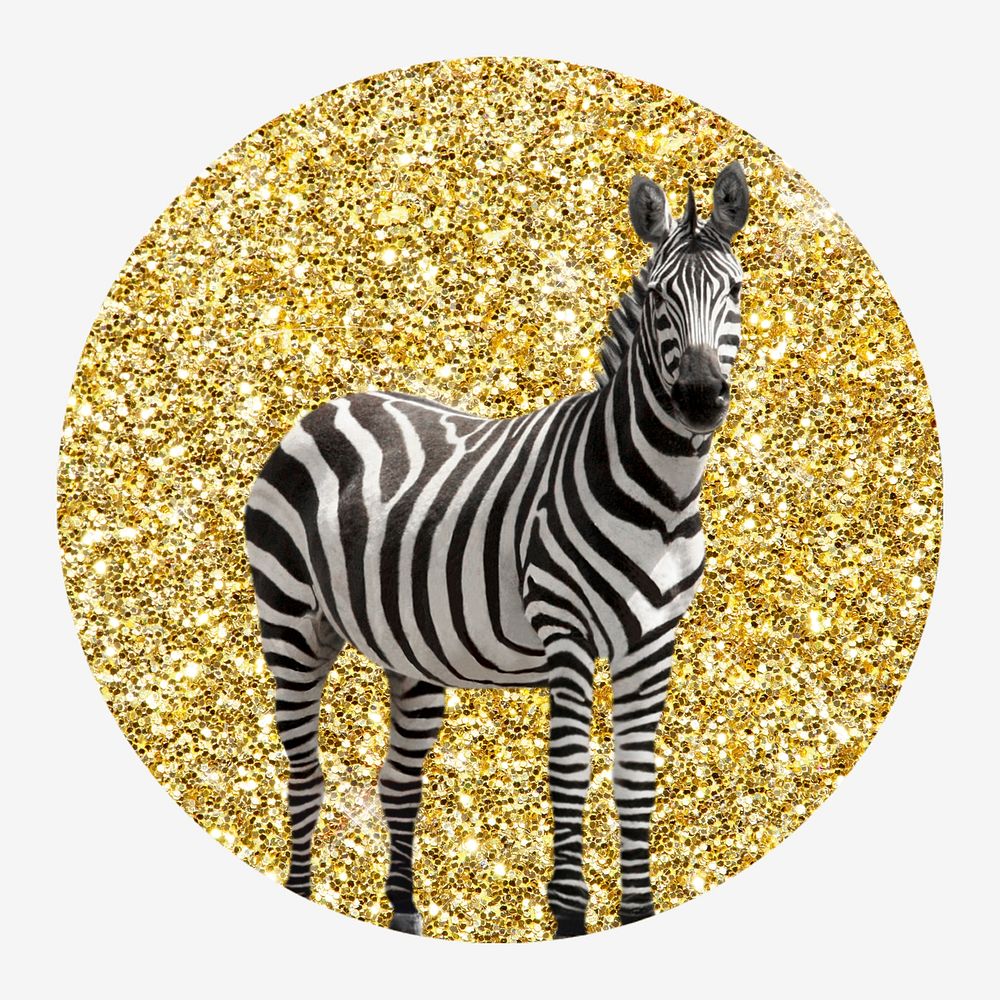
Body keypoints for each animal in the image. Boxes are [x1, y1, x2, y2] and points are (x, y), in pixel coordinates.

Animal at [244, 160, 750, 938]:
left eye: (735, 292)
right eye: (658, 297)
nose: (697, 398)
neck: (660, 496)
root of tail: (331, 406)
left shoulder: (655, 642)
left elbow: (635, 778)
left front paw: (637, 911)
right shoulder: (567, 634)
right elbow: (570, 772)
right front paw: (569, 915)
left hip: (412, 651)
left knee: (398, 782)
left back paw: (405, 914)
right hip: (292, 622)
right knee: (305, 776)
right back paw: (301, 892)